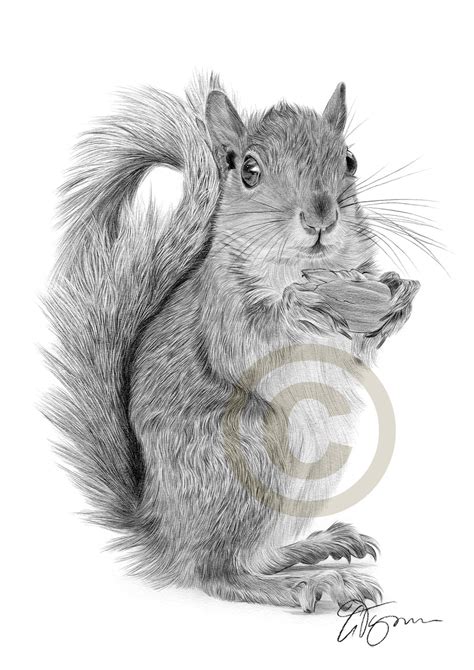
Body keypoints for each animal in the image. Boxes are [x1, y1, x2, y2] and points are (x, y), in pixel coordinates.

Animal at [44, 73, 420, 612]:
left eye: (349, 160)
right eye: (249, 170)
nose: (320, 218)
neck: (299, 269)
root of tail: (161, 527)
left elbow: (361, 345)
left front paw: (399, 296)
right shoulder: (222, 310)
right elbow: (253, 339)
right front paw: (297, 307)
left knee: (253, 556)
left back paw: (315, 548)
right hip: (247, 458)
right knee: (217, 573)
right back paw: (310, 584)